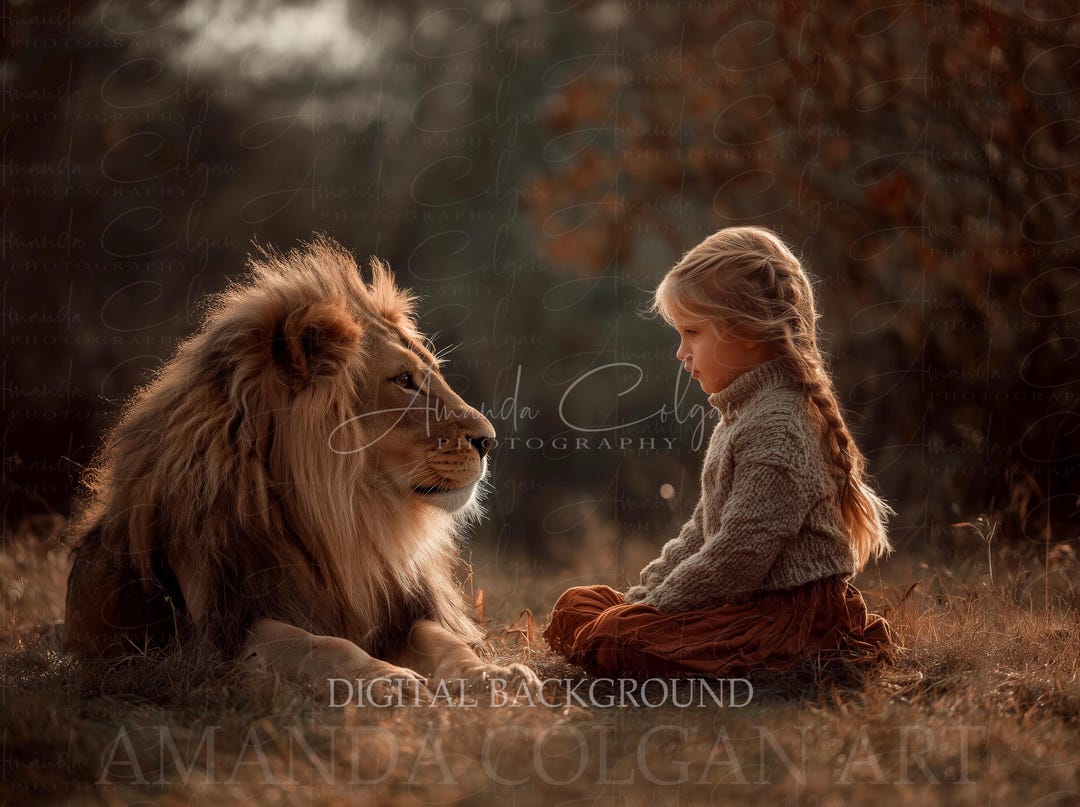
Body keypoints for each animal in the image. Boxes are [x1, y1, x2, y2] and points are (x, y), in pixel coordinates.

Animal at [63, 236, 540, 699]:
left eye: (432, 372)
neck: (338, 522)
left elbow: (445, 642)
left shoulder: (399, 613)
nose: (489, 440)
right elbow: (318, 643)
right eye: (404, 380)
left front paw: (495, 673)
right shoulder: (221, 632)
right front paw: (385, 678)